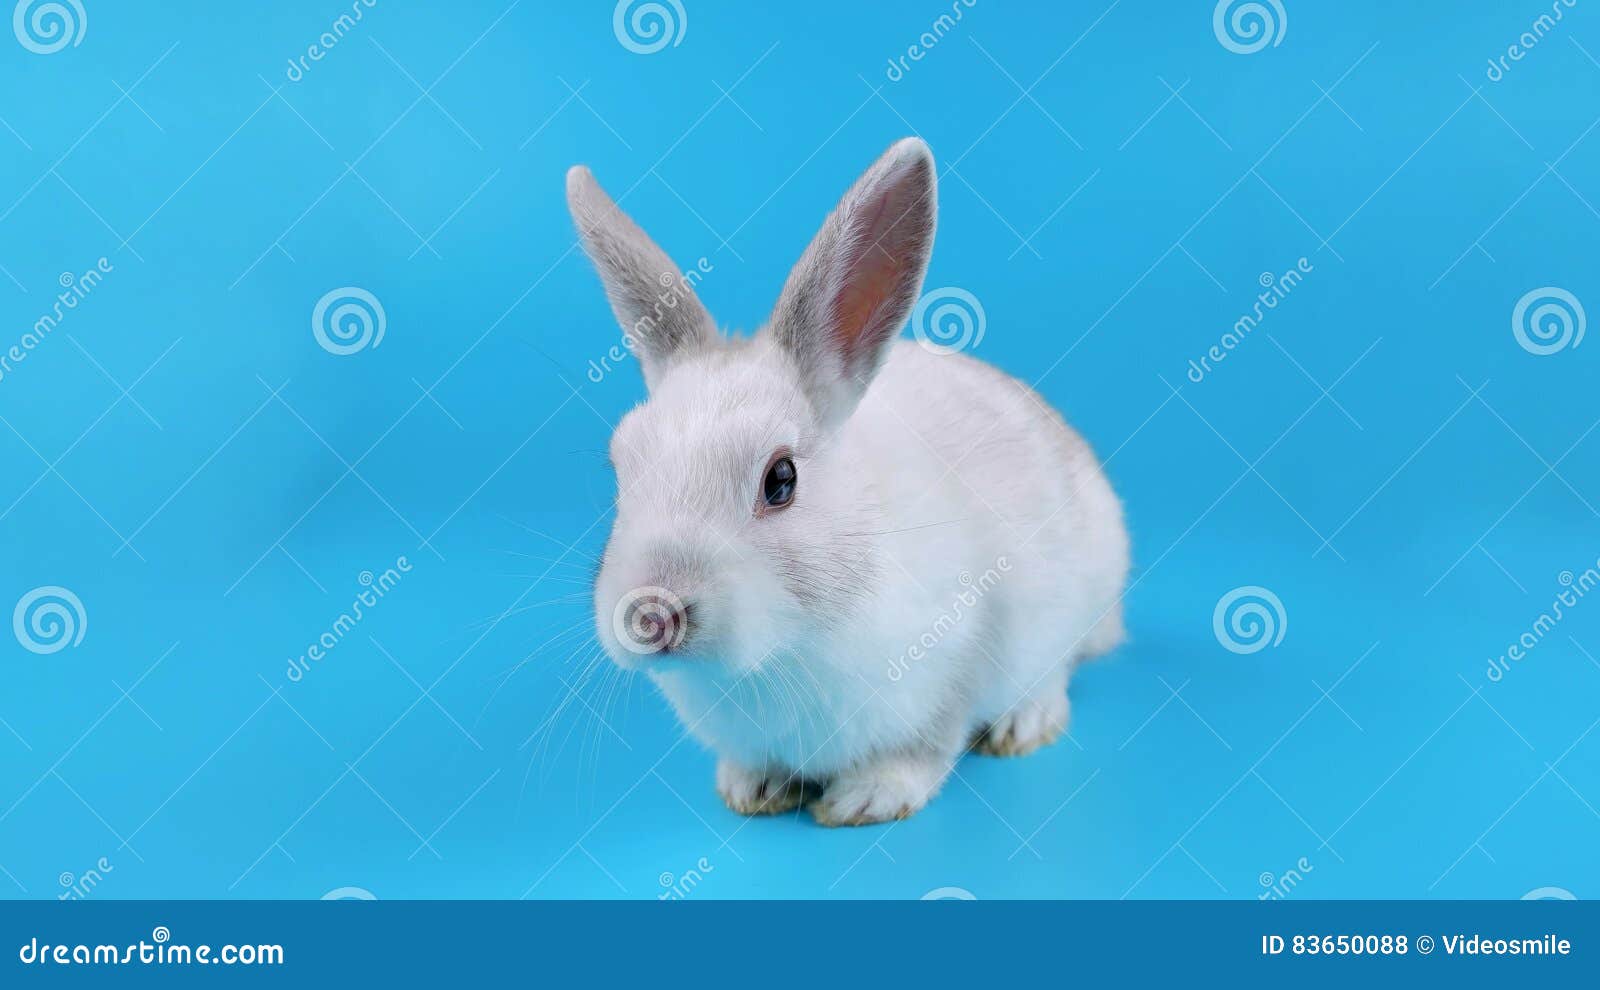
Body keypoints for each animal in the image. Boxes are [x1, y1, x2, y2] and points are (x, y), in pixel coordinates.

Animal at [569, 137, 1129, 827]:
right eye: (621, 469)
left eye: (781, 479)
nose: (650, 615)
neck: (781, 650)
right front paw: (751, 789)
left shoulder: (962, 652)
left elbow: (929, 743)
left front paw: (869, 796)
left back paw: (1025, 723)